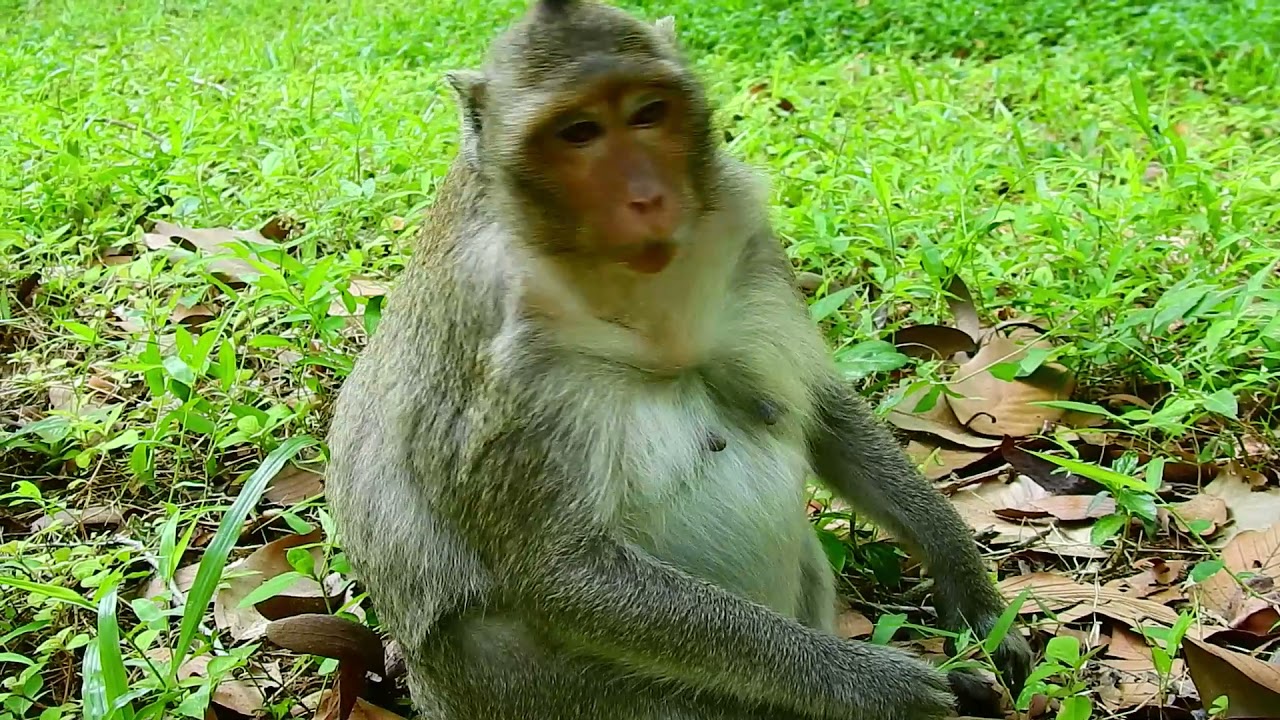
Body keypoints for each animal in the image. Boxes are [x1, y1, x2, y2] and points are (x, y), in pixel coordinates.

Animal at [324, 1, 1032, 718]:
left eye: (647, 113)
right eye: (579, 132)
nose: (647, 196)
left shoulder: (746, 236)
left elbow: (824, 411)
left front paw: (964, 580)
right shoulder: (500, 358)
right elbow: (562, 574)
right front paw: (879, 687)